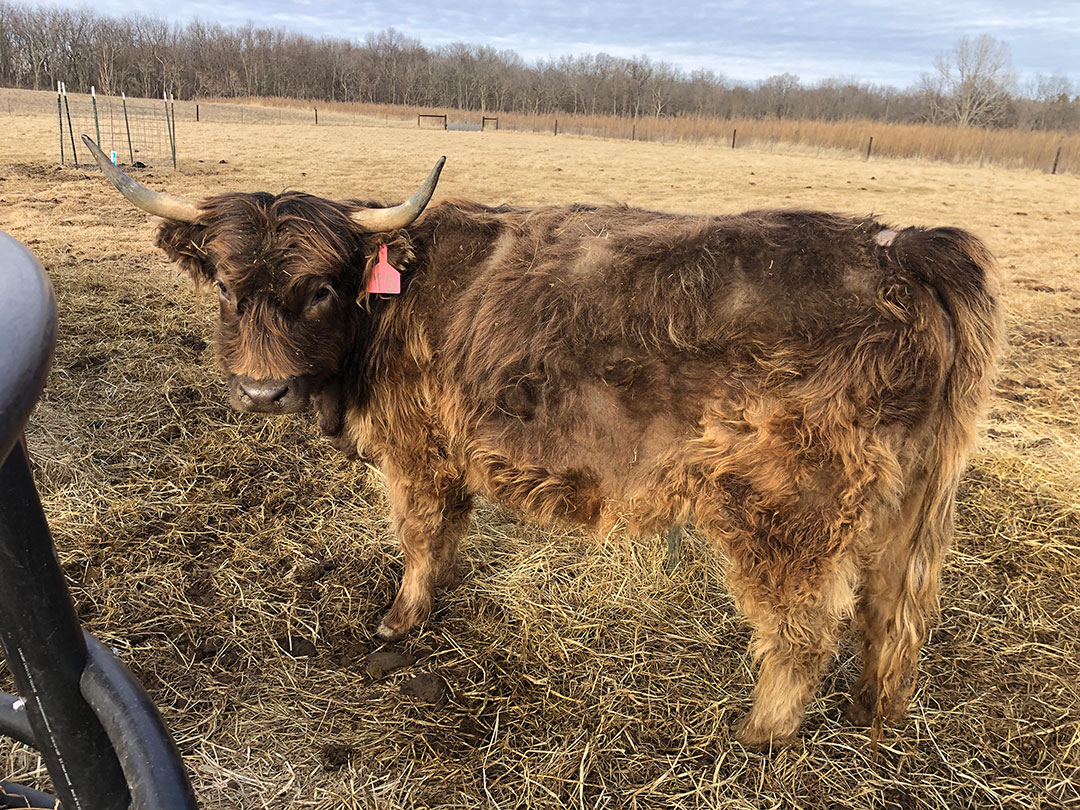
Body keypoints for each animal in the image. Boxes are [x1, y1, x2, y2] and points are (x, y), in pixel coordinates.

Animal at [83, 134, 1001, 747]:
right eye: (227, 287)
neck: (388, 313)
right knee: (894, 615)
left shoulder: (418, 453)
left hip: (790, 512)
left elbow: (420, 537)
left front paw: (398, 623)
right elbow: (447, 536)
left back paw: (759, 738)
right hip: (905, 507)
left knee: (806, 628)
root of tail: (905, 247)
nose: (261, 390)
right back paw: (871, 714)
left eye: (318, 289)